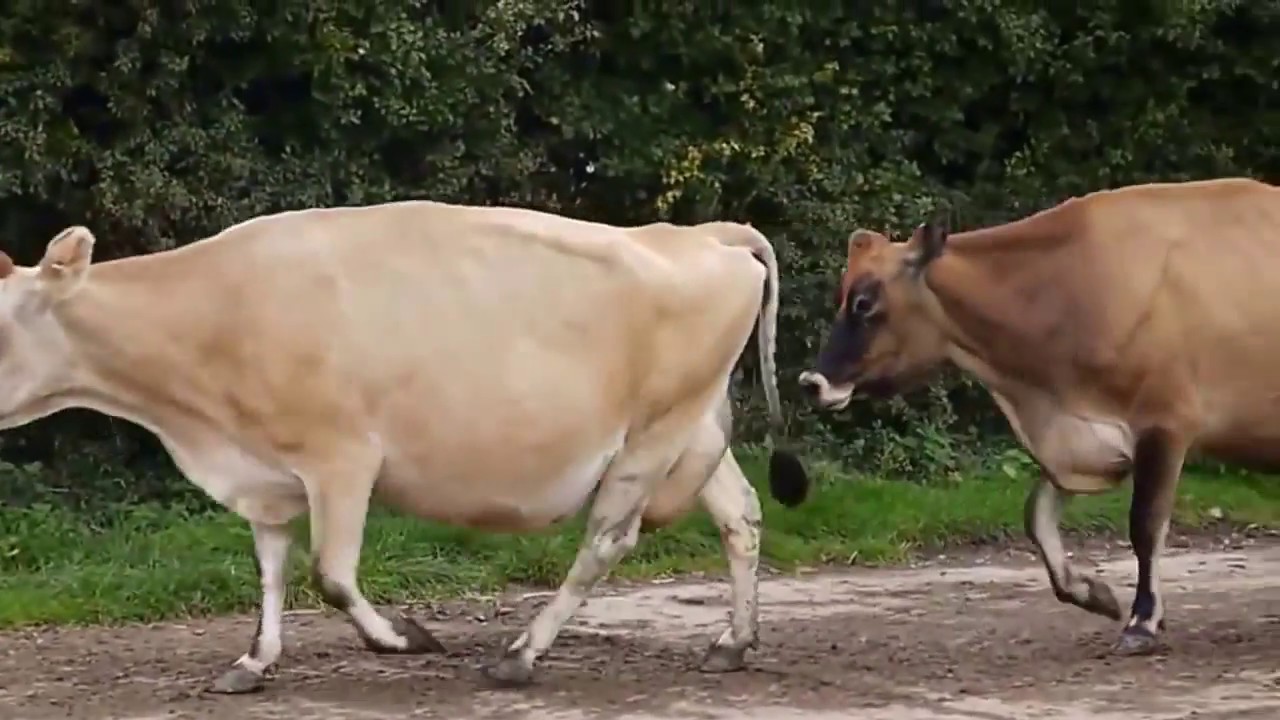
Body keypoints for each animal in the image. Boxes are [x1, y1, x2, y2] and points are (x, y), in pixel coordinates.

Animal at [0, 201, 809, 693]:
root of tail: (699, 232)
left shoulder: (341, 457)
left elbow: (330, 574)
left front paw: (403, 639)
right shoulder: (263, 472)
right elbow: (270, 570)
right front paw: (254, 661)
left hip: (652, 432)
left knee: (608, 540)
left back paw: (519, 656)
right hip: (692, 429)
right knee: (741, 515)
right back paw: (733, 642)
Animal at [783, 177, 1280, 657]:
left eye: (865, 302)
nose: (812, 382)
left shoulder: (1165, 424)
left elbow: (1145, 525)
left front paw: (1142, 622)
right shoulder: (1076, 442)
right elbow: (1036, 520)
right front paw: (1093, 593)